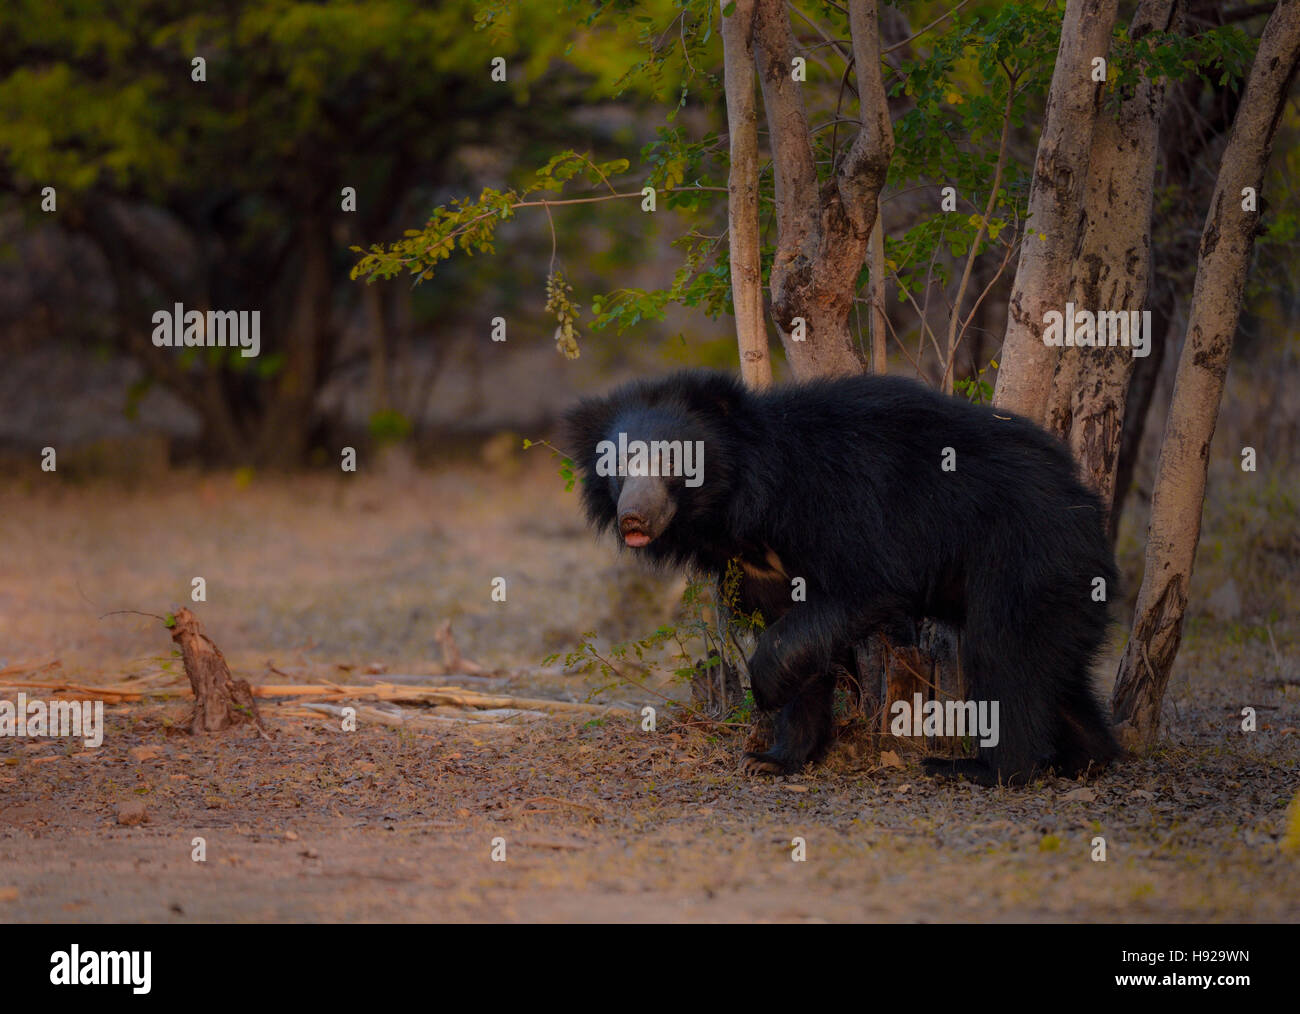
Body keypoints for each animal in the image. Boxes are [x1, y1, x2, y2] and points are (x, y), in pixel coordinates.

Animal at [563, 369, 1122, 786]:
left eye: (674, 461)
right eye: (617, 466)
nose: (633, 518)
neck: (739, 509)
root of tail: (1085, 504)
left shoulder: (845, 506)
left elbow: (863, 587)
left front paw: (764, 691)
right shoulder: (760, 564)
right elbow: (799, 636)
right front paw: (772, 759)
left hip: (1022, 555)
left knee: (1005, 653)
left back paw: (983, 769)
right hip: (1060, 579)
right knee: (1053, 664)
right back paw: (1089, 756)